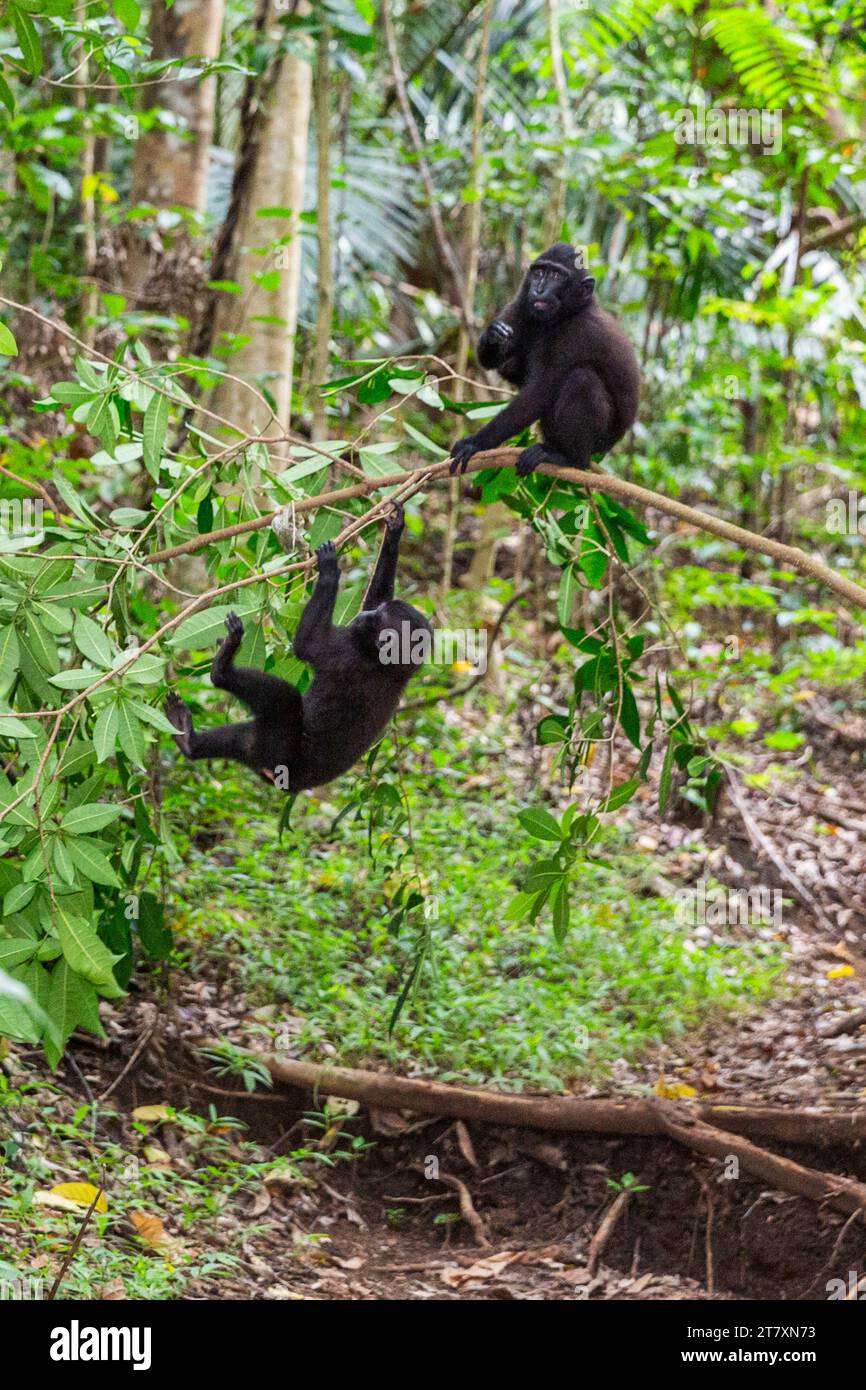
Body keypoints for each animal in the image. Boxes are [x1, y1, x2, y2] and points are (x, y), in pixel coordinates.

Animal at [165, 503, 431, 792]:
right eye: (378, 611)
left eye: (378, 620)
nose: (366, 615)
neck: (388, 667)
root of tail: (283, 781)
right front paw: (394, 531)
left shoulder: (346, 655)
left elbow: (307, 644)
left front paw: (329, 574)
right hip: (259, 749)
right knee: (244, 736)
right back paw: (190, 741)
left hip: (279, 749)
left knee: (286, 700)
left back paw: (222, 668)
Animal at [449, 242, 640, 479]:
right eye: (539, 272)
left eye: (557, 276)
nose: (538, 289)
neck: (564, 316)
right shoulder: (521, 305)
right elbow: (495, 364)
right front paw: (493, 336)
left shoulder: (579, 333)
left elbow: (538, 393)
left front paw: (474, 443)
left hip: (601, 441)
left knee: (582, 379)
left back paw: (570, 459)